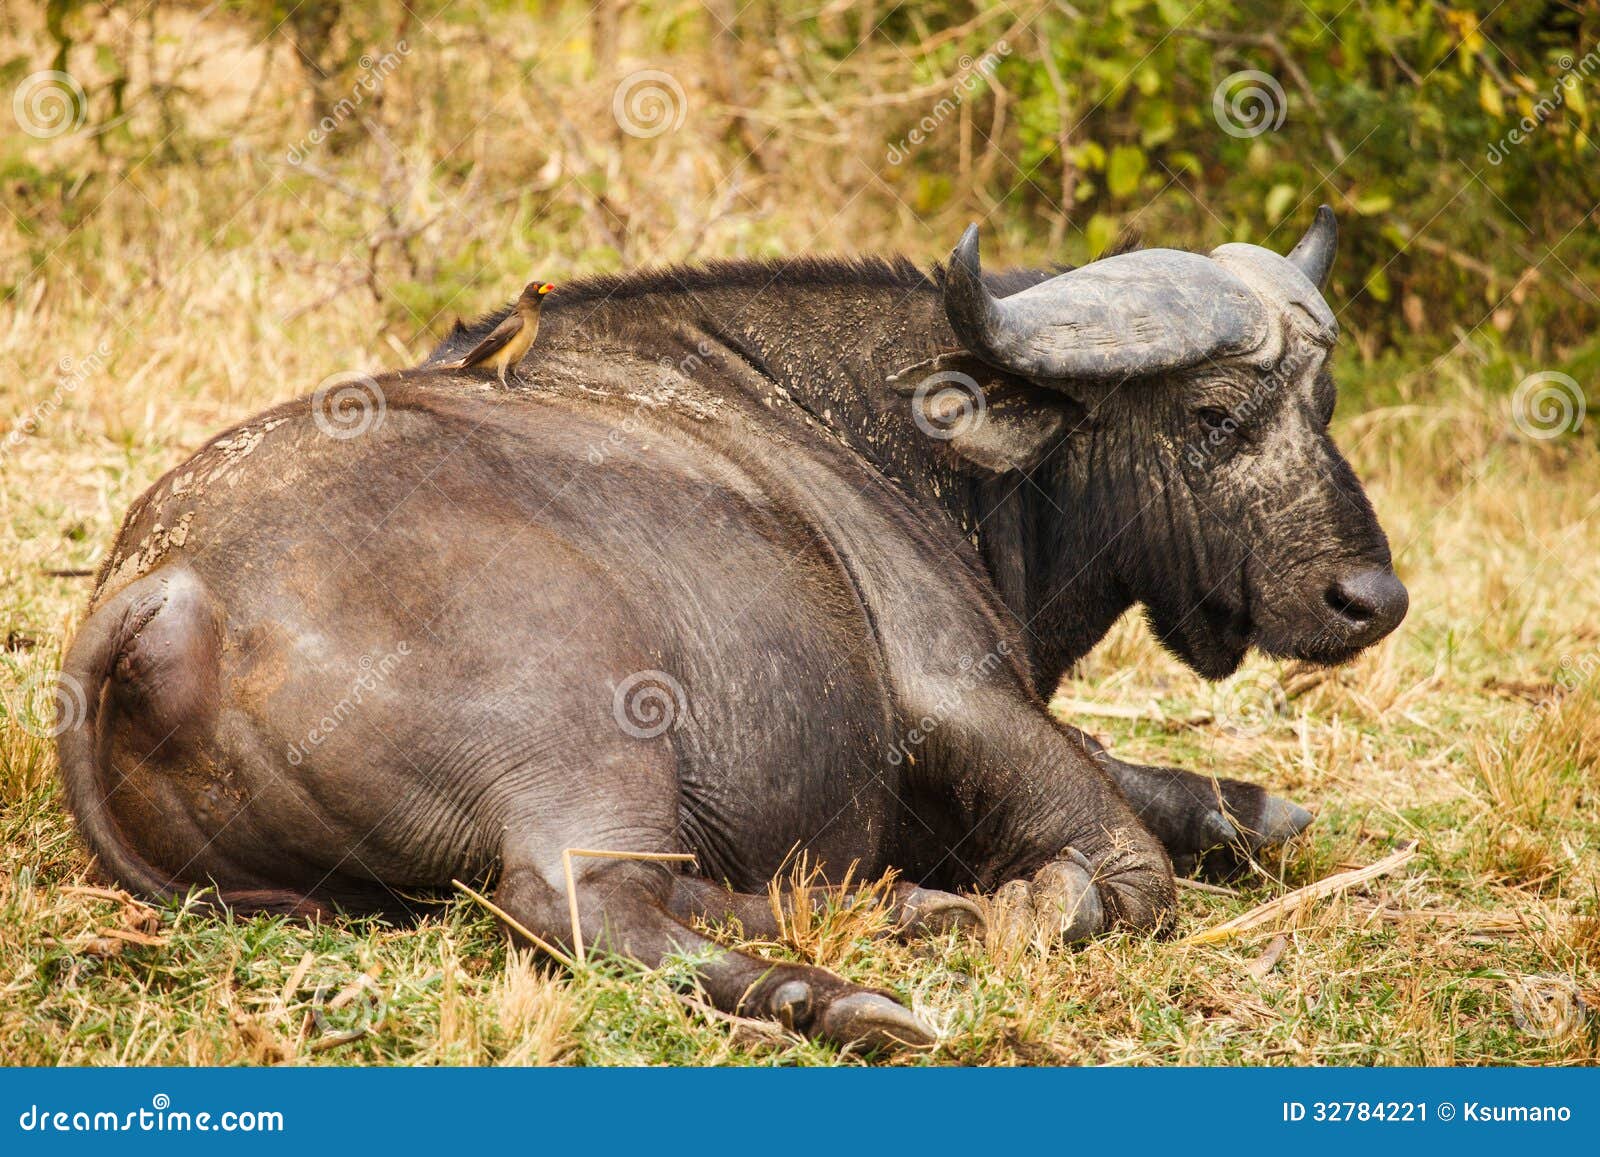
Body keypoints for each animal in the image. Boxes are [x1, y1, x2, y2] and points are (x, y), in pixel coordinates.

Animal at [59, 207, 1405, 1048]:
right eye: (1214, 415)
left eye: (1326, 400)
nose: (1370, 599)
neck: (910, 438)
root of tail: (169, 581)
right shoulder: (958, 692)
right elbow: (1125, 871)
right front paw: (1043, 900)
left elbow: (1171, 788)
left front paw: (1242, 805)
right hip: (588, 735)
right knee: (576, 900)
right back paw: (843, 994)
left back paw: (906, 915)